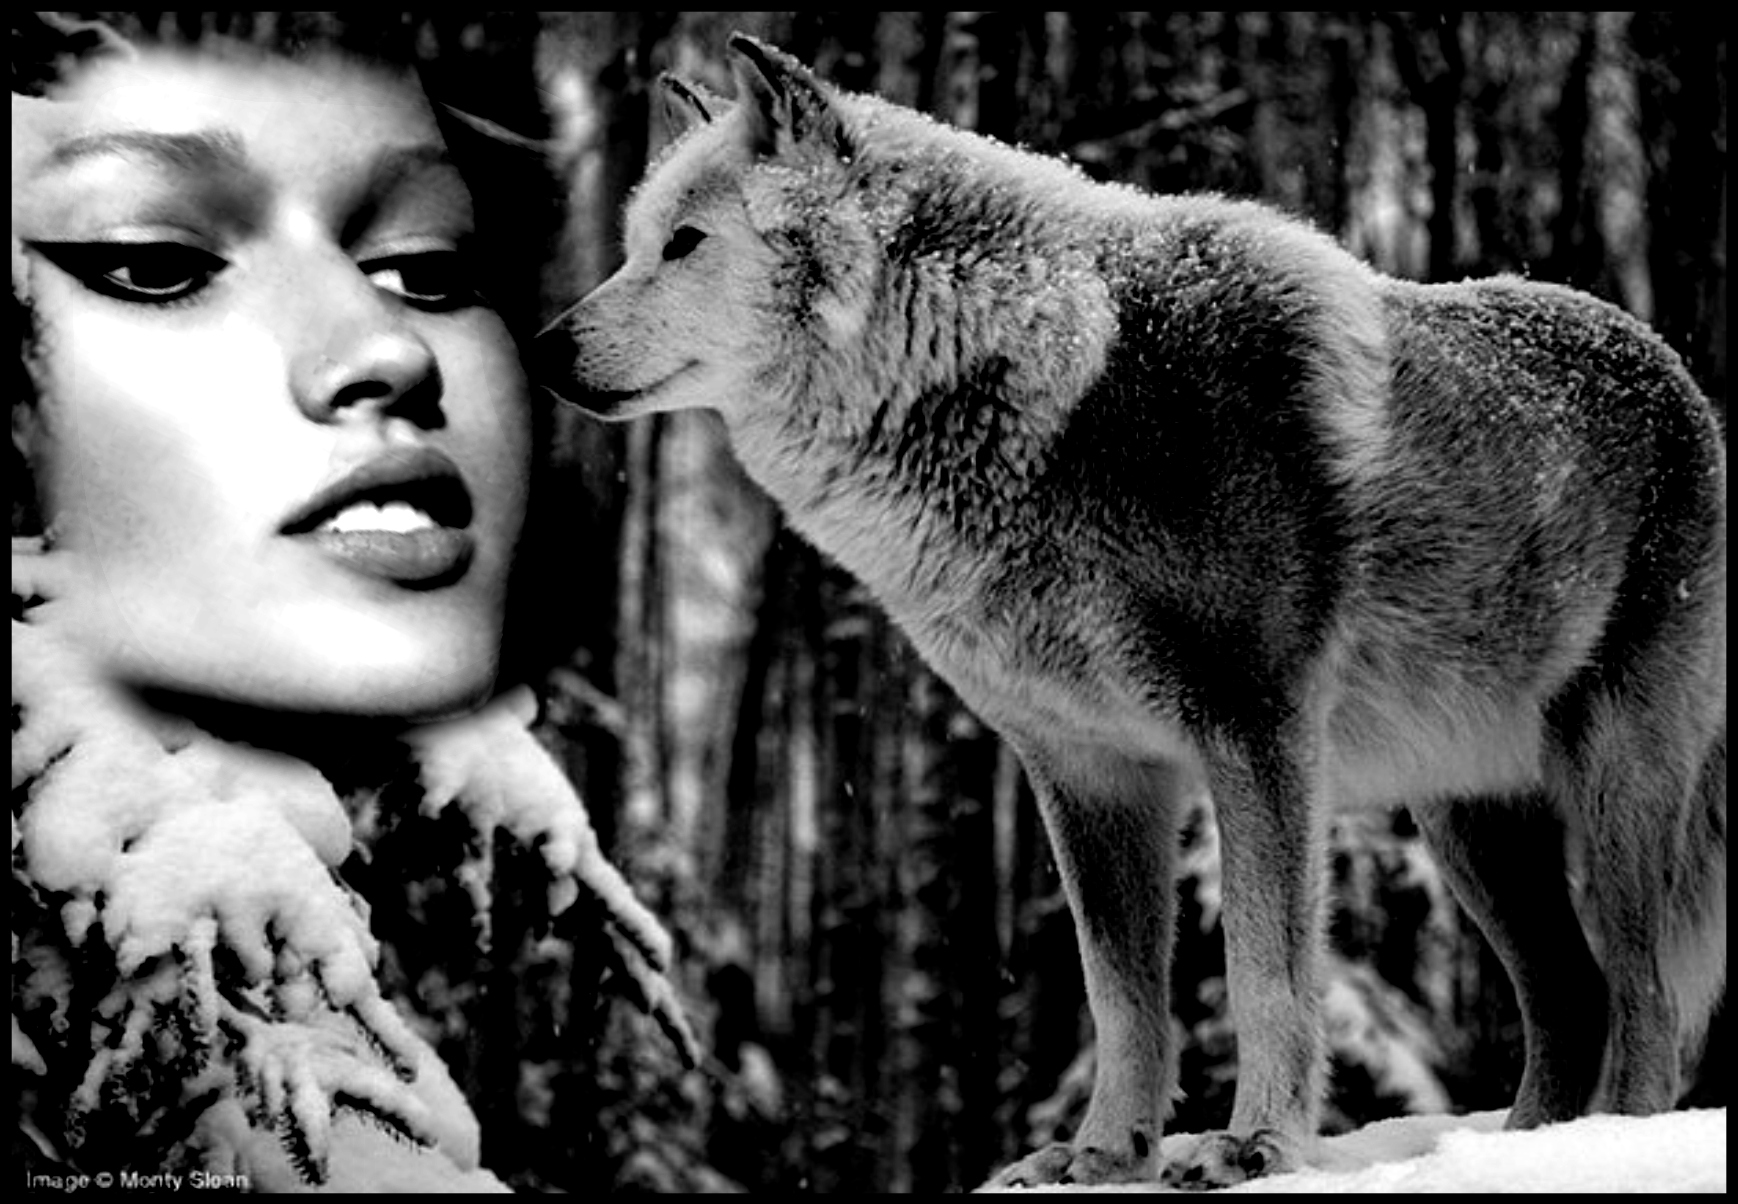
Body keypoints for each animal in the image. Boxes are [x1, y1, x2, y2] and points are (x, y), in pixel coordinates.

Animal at [540, 34, 1727, 1188]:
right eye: (633, 243)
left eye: (685, 244)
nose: (548, 346)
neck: (1043, 387)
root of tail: (1679, 374)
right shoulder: (1086, 769)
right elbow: (1121, 996)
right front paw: (1104, 1153)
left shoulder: (1256, 732)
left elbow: (1261, 969)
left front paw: (1254, 1146)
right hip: (1468, 820)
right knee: (1571, 995)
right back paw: (1526, 1151)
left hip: (1614, 790)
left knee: (1644, 991)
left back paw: (1610, 1144)